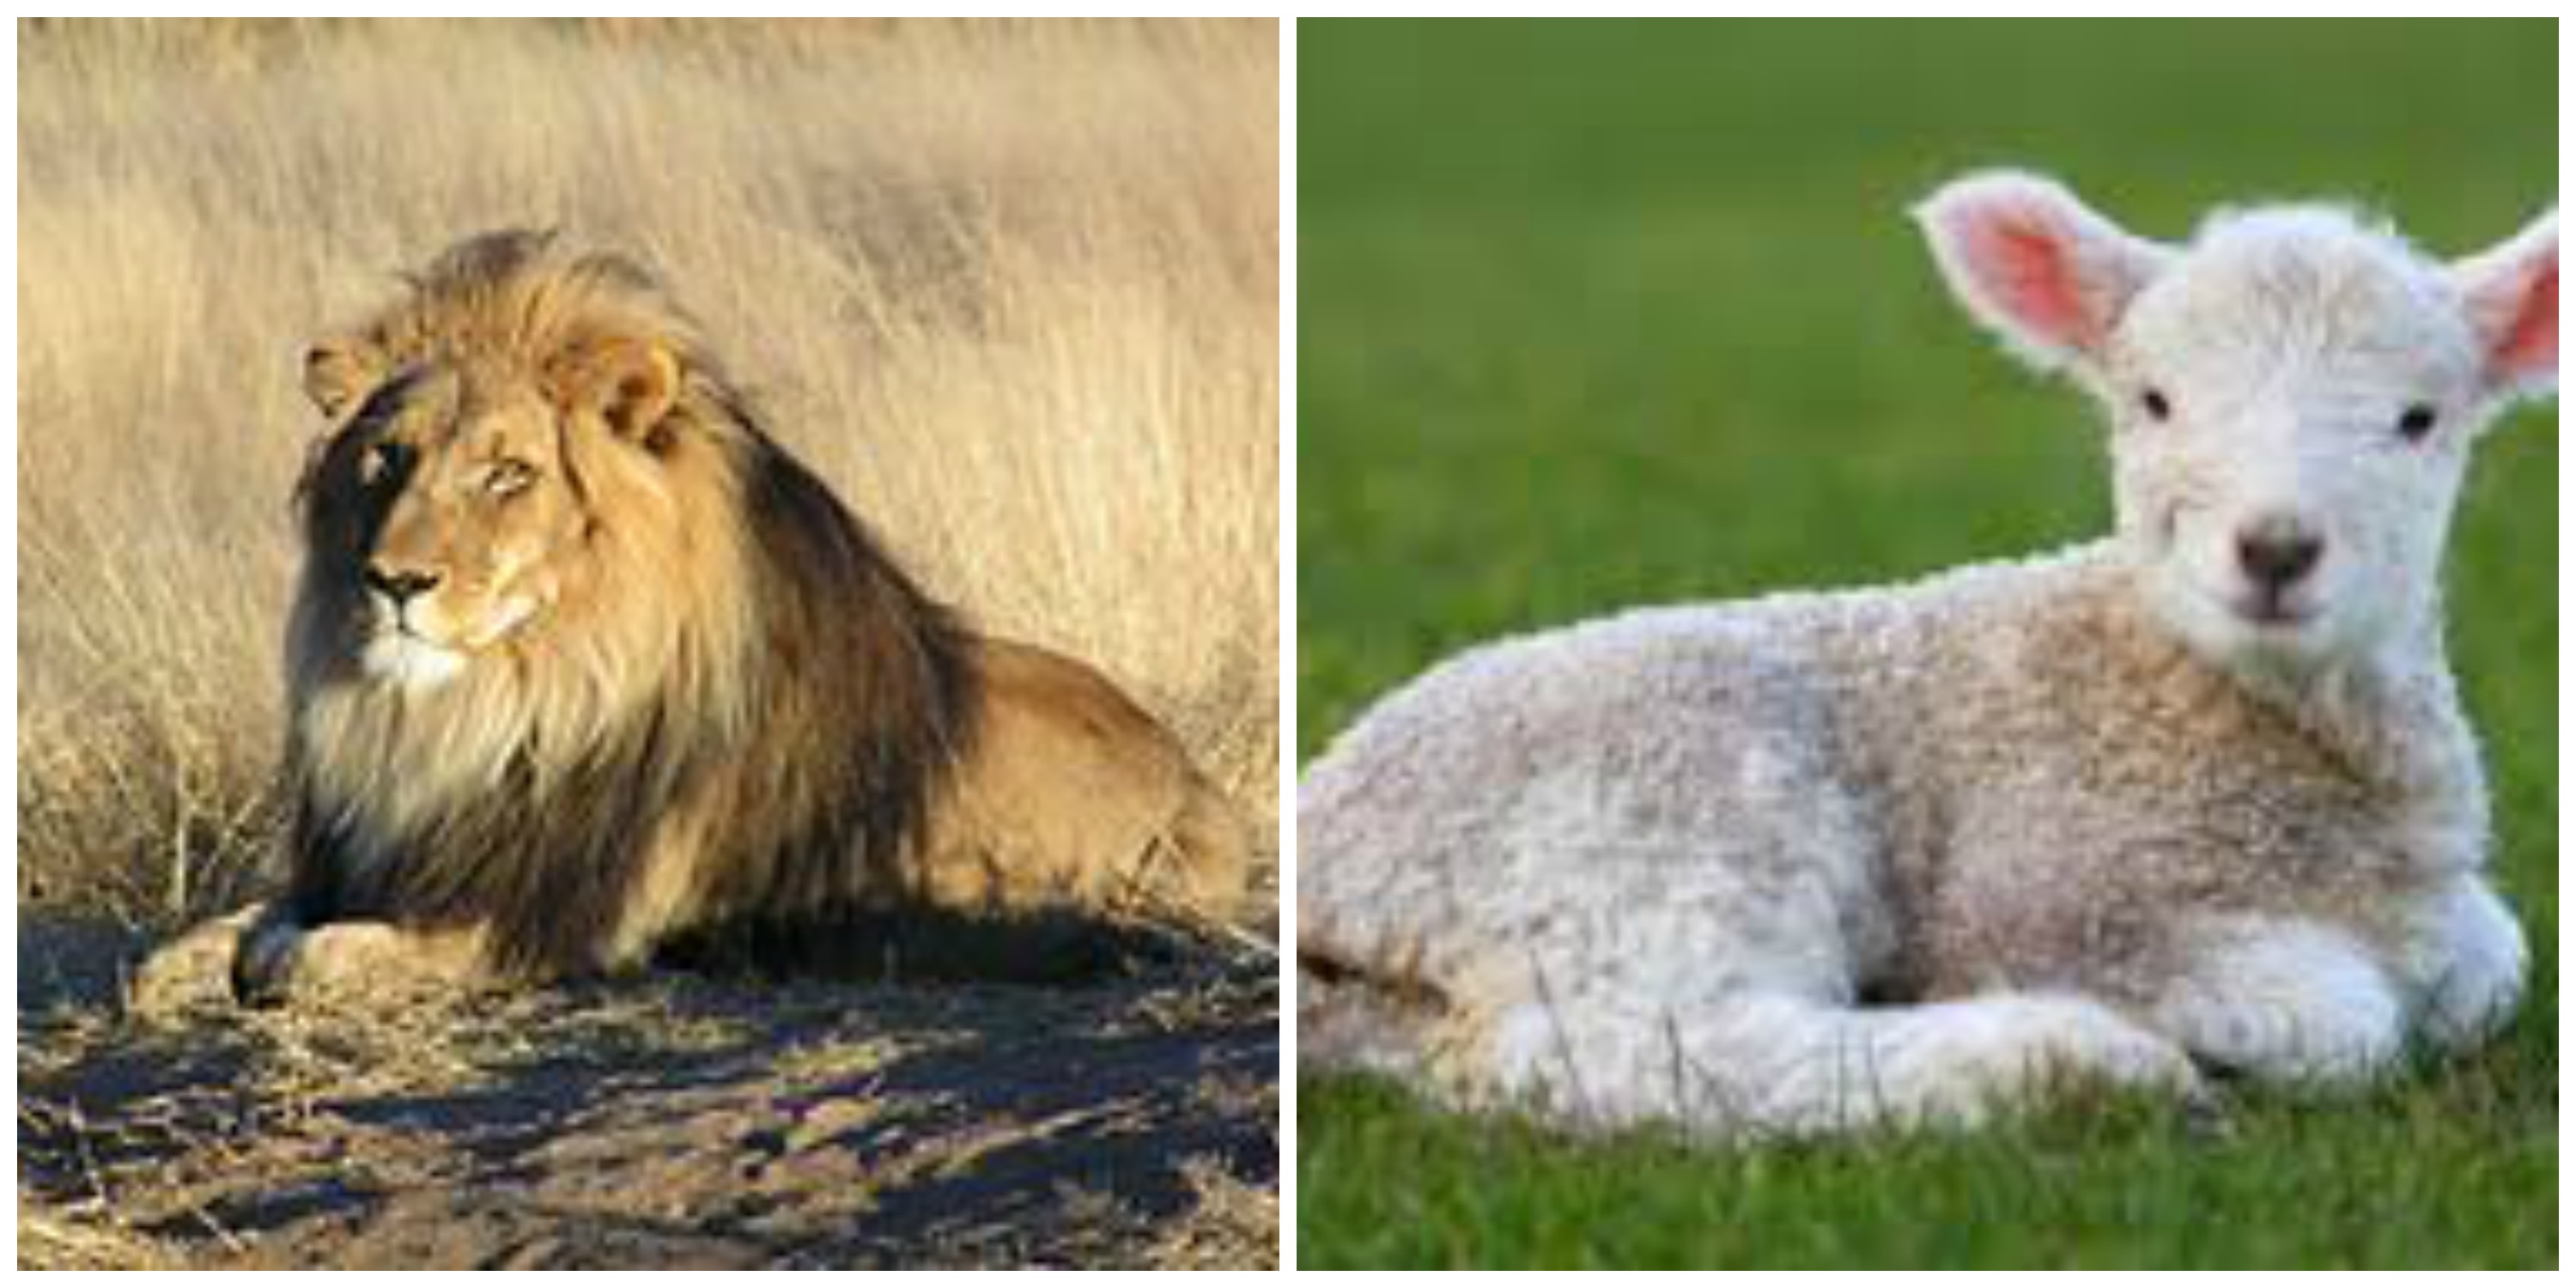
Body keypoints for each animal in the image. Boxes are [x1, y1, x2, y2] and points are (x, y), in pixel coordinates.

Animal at [138, 229, 1254, 1008]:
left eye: (510, 474)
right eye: (386, 458)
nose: (394, 581)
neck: (493, 704)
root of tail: (1202, 783)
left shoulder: (549, 920)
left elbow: (313, 956)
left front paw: (279, 960)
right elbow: (195, 948)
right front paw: (193, 962)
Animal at [1296, 170, 2555, 1138]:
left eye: (2419, 420)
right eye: (2151, 401)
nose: (2277, 549)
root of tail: (1328, 824)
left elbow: (2494, 960)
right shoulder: (2045, 902)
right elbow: (2344, 1020)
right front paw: (2197, 1032)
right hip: (1666, 818)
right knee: (1630, 1048)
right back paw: (2075, 1061)